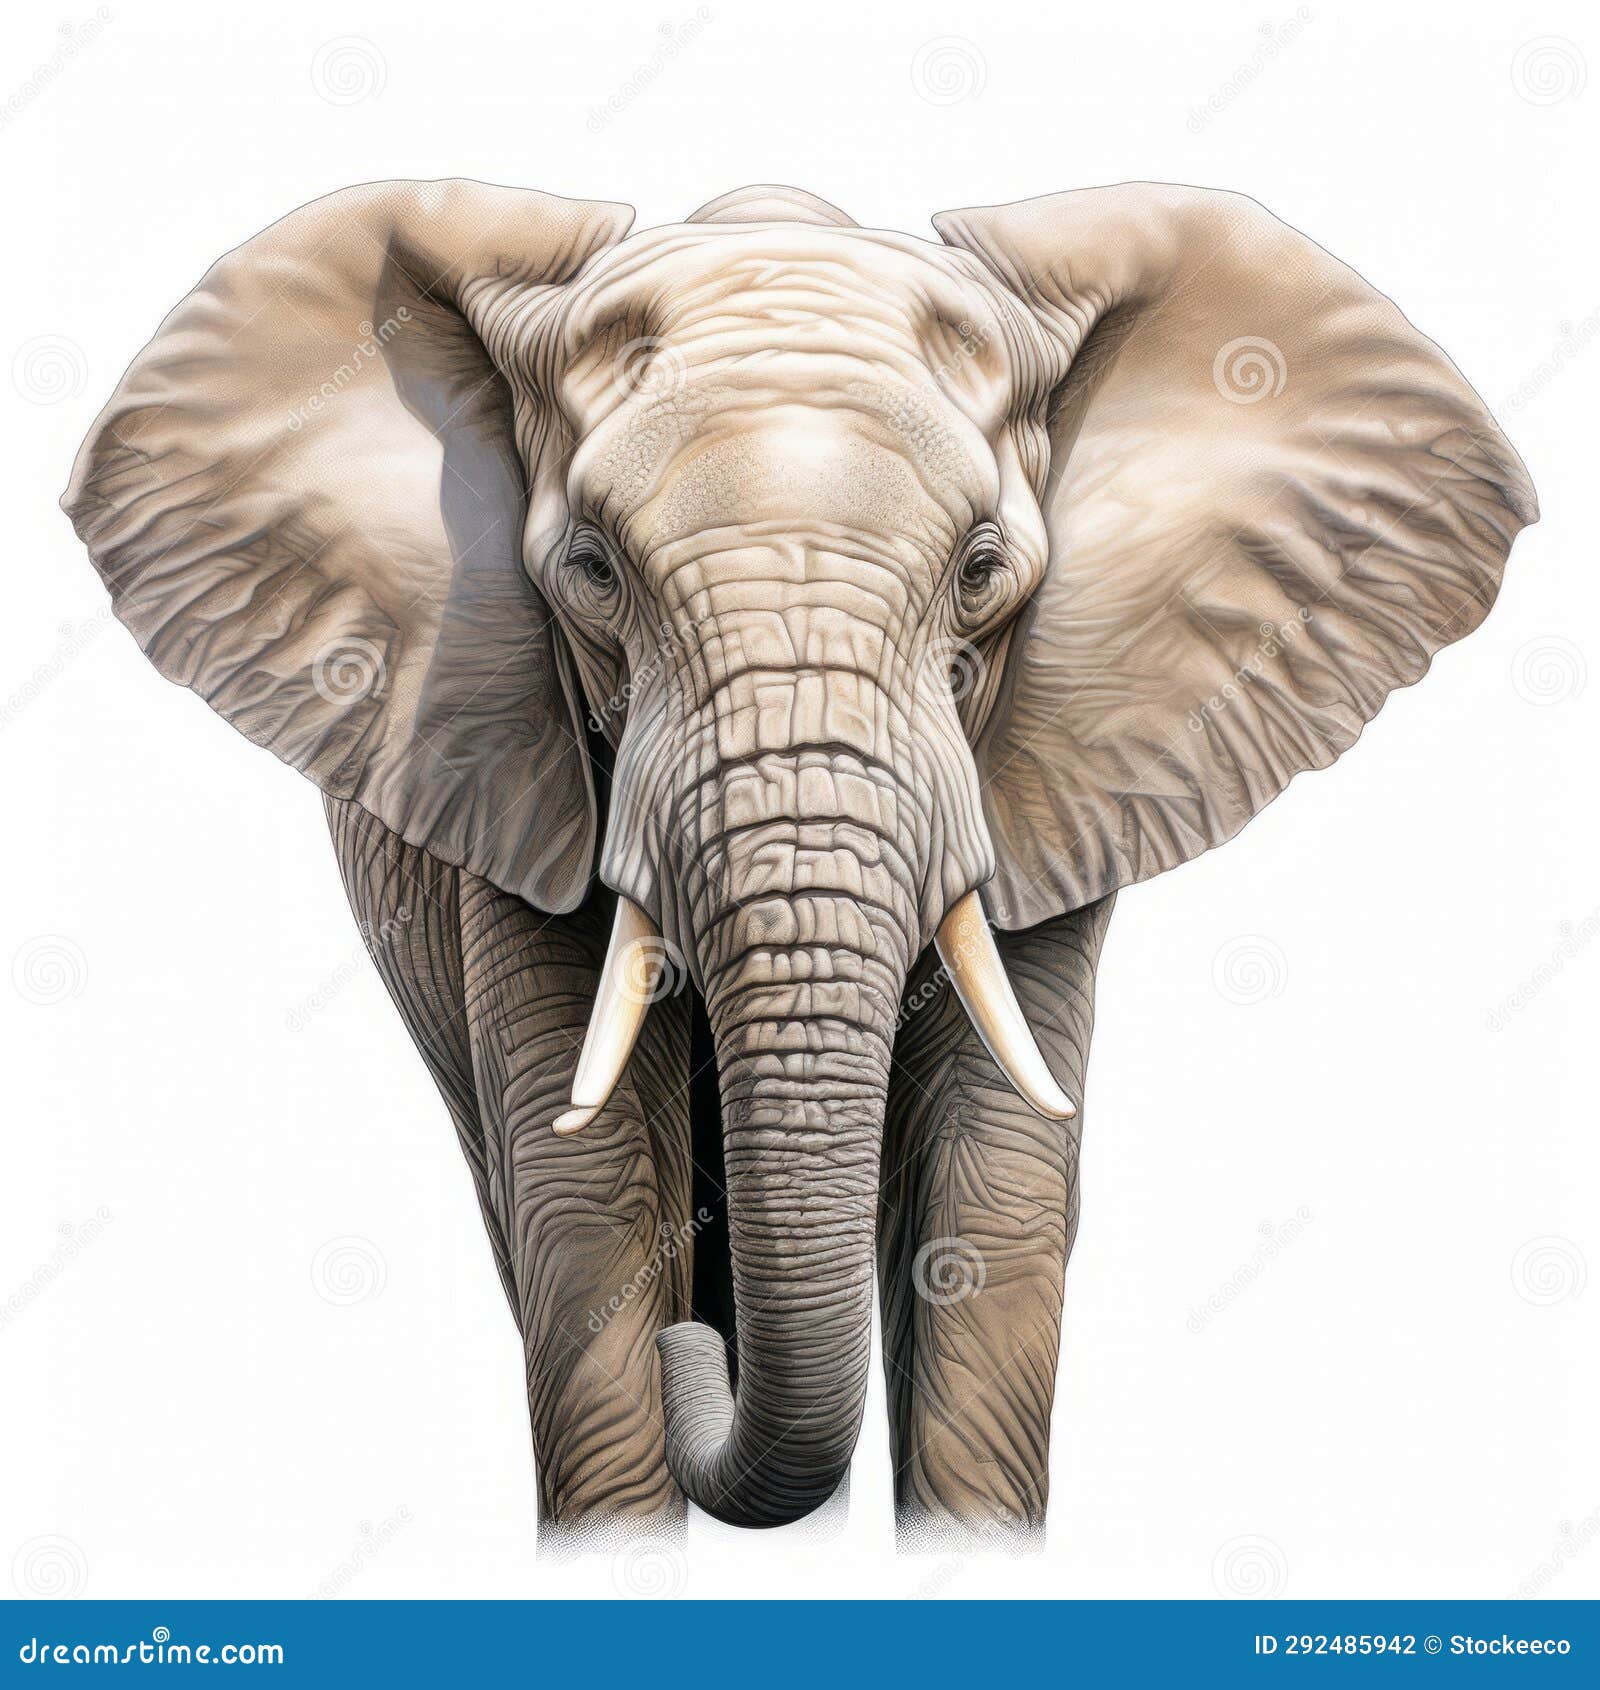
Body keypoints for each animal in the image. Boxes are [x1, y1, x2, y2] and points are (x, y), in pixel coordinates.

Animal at [62, 178, 1535, 1541]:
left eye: (983, 571)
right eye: (590, 570)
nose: (694, 1353)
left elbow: (991, 1191)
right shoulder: (509, 761)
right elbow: (585, 1192)